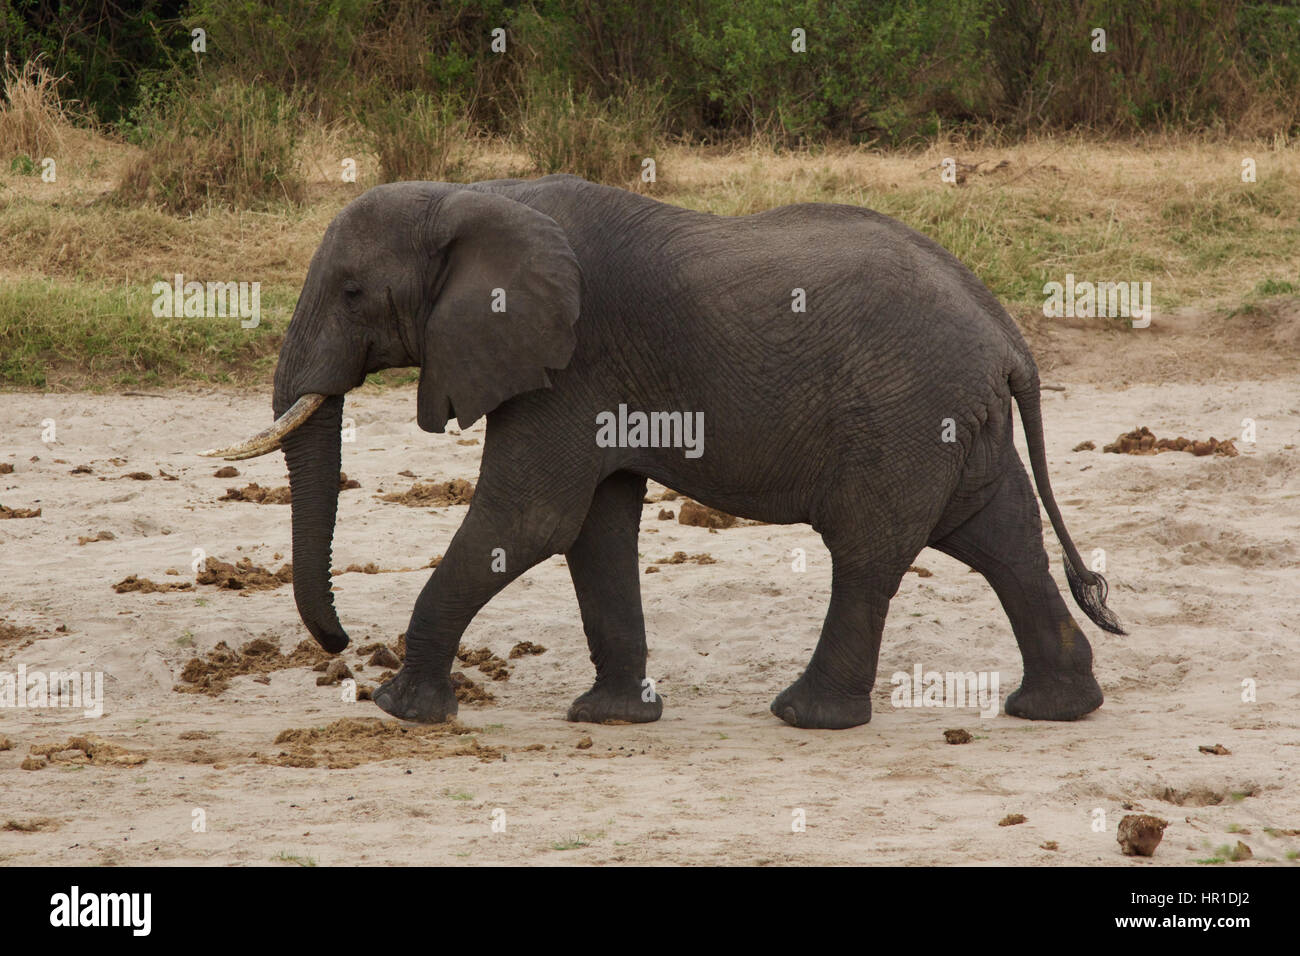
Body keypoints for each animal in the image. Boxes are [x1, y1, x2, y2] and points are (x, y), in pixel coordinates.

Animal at [202, 173, 1124, 731]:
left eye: (353, 292)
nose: (338, 644)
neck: (470, 196)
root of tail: (1008, 335)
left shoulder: (570, 366)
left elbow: (529, 520)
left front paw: (399, 707)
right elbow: (595, 529)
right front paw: (613, 716)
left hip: (905, 415)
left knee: (870, 554)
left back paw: (803, 715)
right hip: (955, 424)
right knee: (1000, 540)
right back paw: (1057, 707)